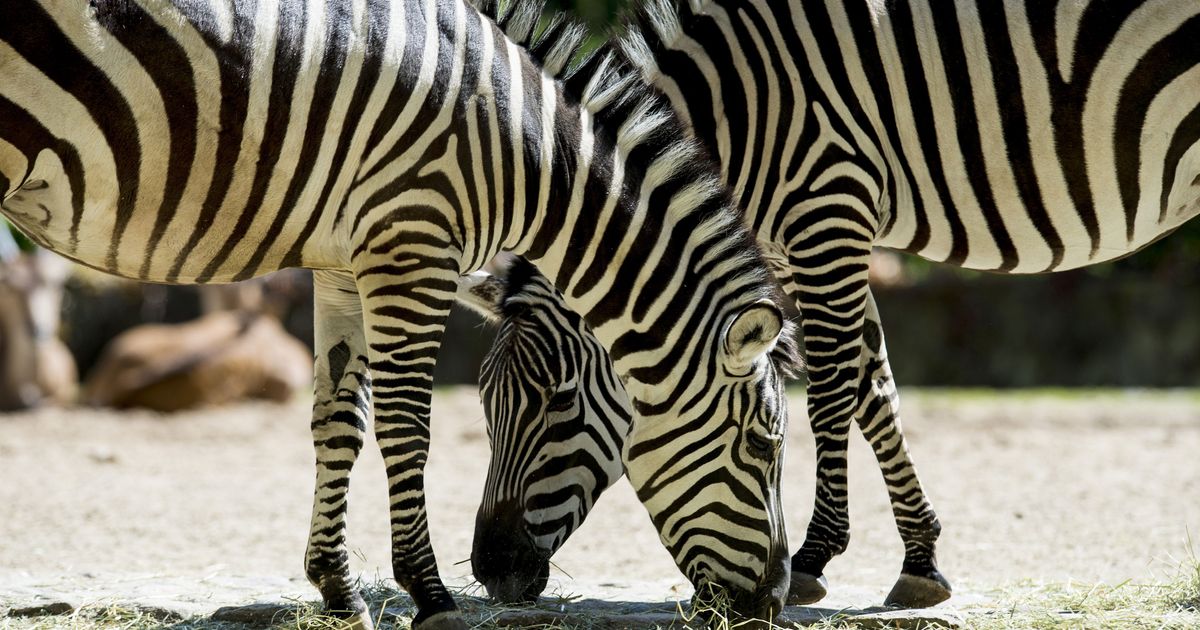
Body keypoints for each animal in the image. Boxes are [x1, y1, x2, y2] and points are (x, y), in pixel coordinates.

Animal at [0, 0, 802, 626]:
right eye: (765, 443)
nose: (771, 601)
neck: (521, 155)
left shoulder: (343, 260)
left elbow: (338, 420)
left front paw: (337, 589)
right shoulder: (412, 241)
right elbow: (405, 427)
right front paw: (431, 594)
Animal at [468, 0, 1200, 610]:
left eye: (558, 401)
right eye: (486, 401)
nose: (491, 573)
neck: (742, 111)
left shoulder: (829, 209)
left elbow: (832, 394)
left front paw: (814, 558)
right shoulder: (803, 243)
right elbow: (875, 391)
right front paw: (920, 561)